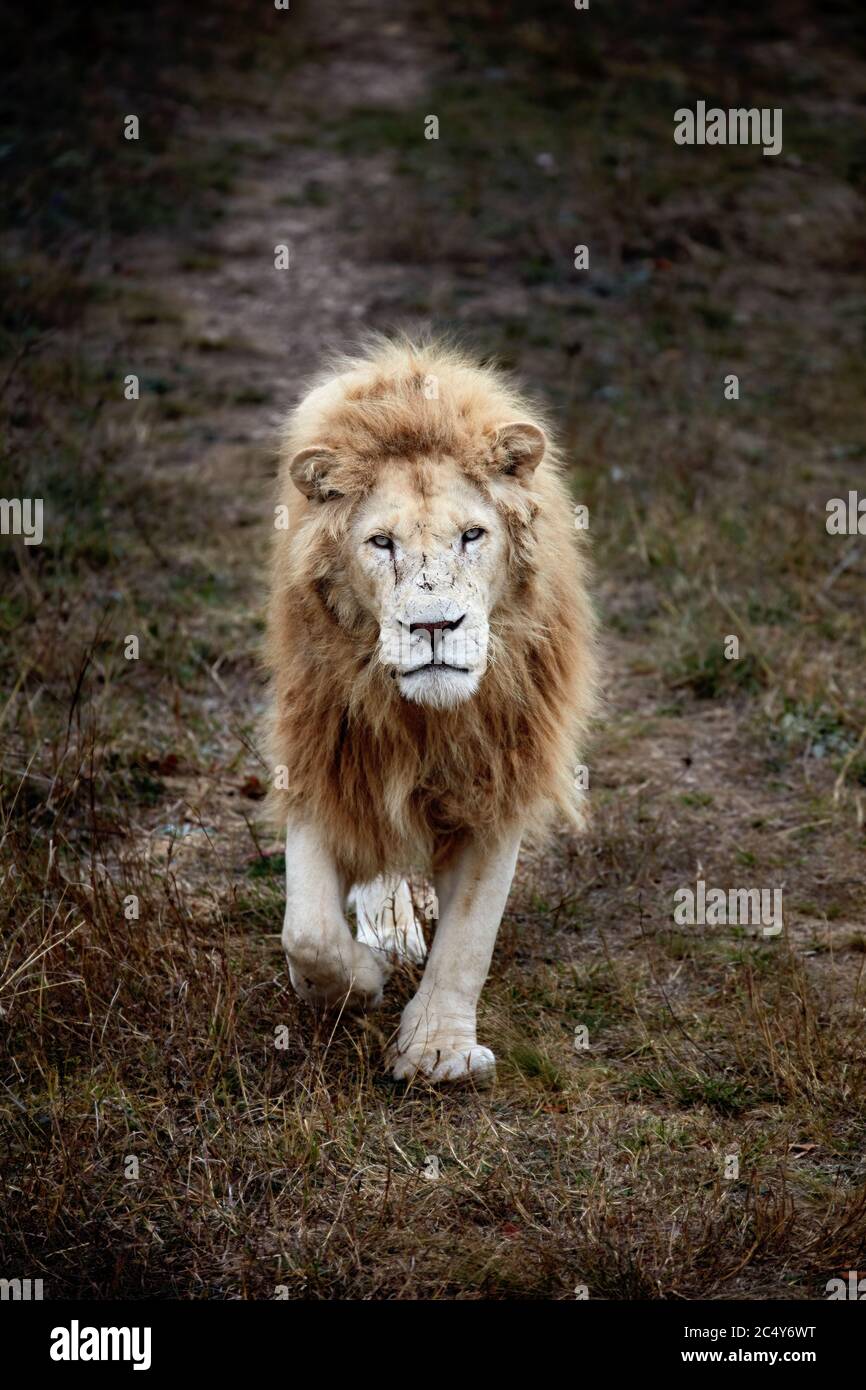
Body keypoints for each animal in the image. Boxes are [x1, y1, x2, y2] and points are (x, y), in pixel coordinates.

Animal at [265, 336, 596, 1084]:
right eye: (381, 542)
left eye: (472, 535)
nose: (435, 625)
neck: (429, 718)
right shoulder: (322, 759)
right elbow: (309, 933)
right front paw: (363, 977)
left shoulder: (501, 777)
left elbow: (470, 934)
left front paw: (436, 1050)